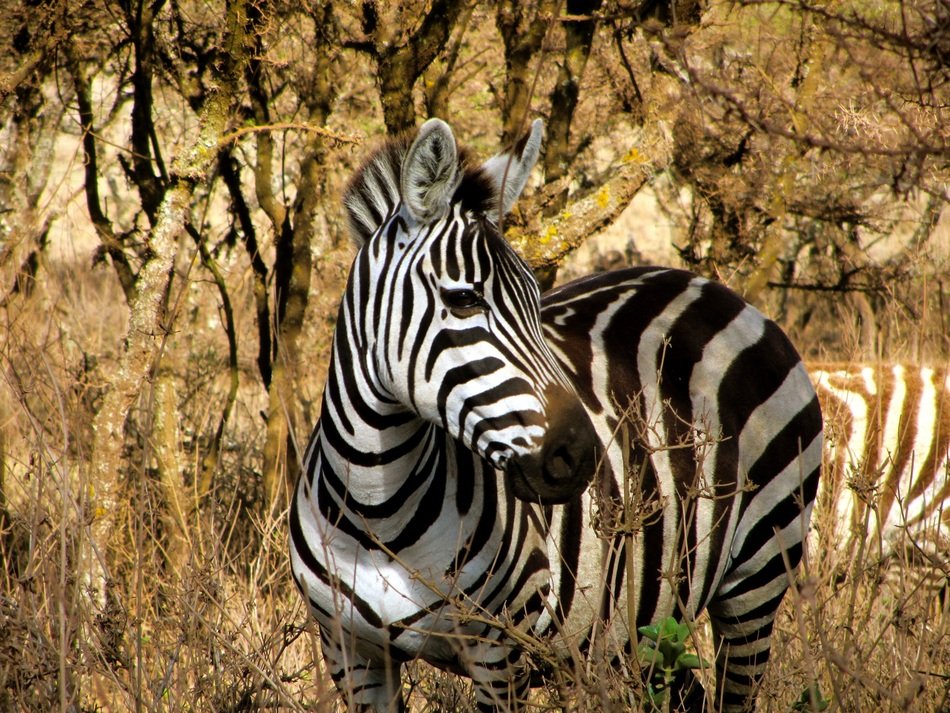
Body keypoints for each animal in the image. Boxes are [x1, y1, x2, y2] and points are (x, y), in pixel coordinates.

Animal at [289, 118, 824, 712]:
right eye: (465, 300)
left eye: (535, 298)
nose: (580, 454)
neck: (377, 508)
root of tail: (712, 288)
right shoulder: (350, 652)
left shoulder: (501, 653)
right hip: (646, 626)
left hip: (759, 574)